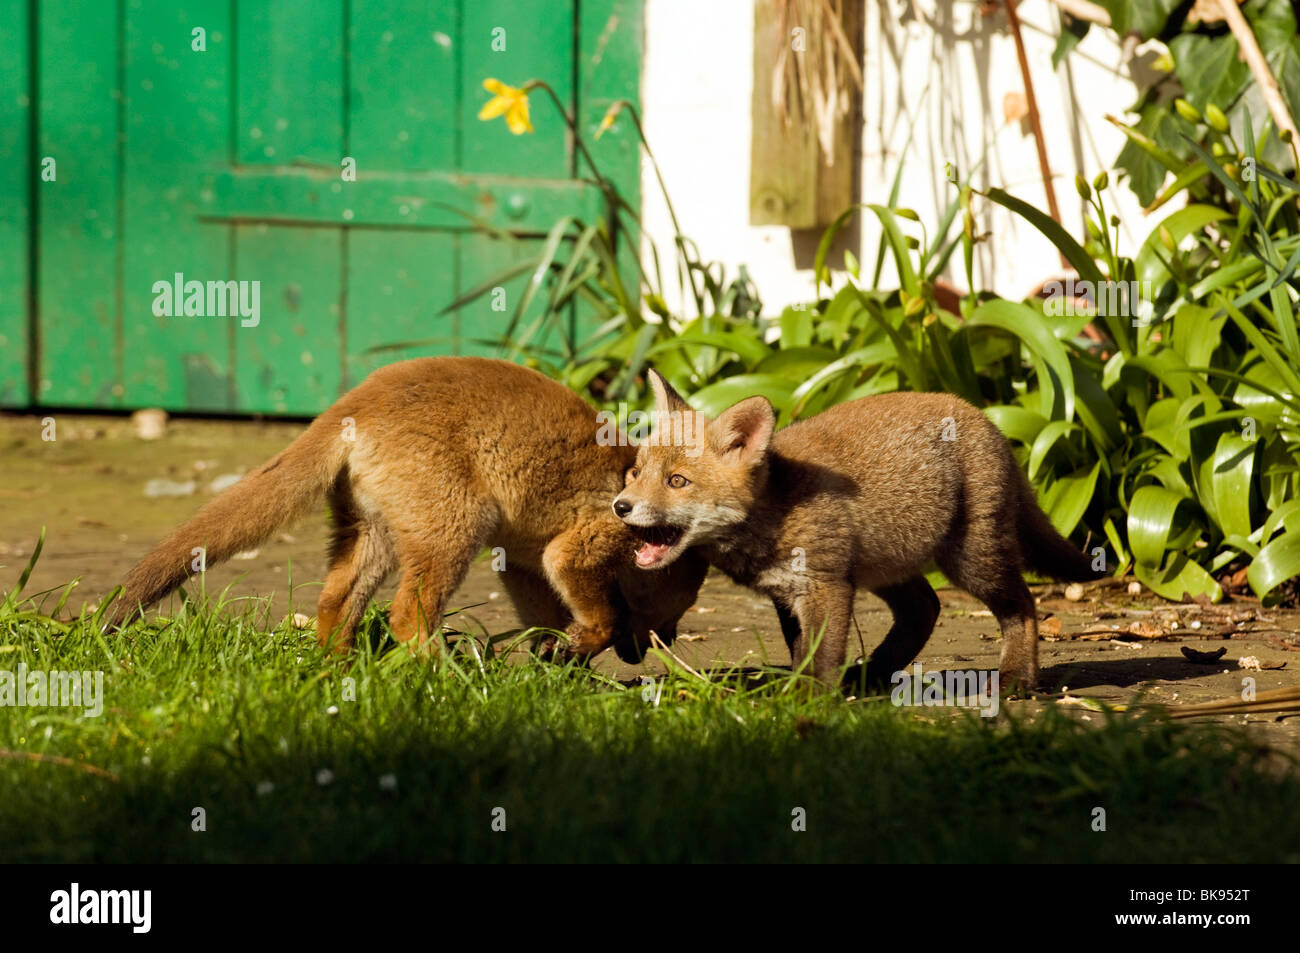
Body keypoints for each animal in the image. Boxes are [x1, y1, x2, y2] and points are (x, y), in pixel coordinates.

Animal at [103, 357, 707, 662]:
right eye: (669, 615)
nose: (655, 650)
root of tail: (356, 399)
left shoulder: (525, 564)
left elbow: (549, 623)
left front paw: (556, 663)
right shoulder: (571, 550)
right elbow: (602, 619)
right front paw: (579, 649)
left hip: (375, 535)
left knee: (334, 606)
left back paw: (339, 675)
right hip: (453, 532)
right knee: (405, 618)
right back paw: (448, 680)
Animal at [613, 370, 1105, 692]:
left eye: (677, 481)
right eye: (635, 473)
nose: (620, 507)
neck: (775, 510)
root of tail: (985, 418)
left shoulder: (827, 585)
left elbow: (822, 655)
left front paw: (808, 701)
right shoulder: (788, 595)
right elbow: (802, 651)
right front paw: (800, 690)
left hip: (972, 560)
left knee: (1022, 606)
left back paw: (1017, 679)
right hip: (887, 565)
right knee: (925, 608)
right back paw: (872, 675)